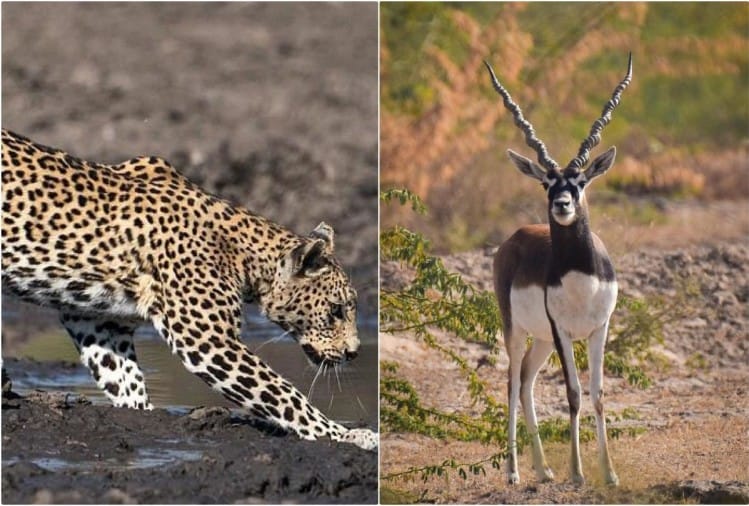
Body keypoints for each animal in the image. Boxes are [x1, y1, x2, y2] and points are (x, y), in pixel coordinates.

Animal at [1, 129, 377, 451]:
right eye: (336, 311)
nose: (355, 353)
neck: (247, 257)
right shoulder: (208, 341)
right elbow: (283, 394)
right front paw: (344, 435)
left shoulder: (98, 321)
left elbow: (123, 377)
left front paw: (143, 415)